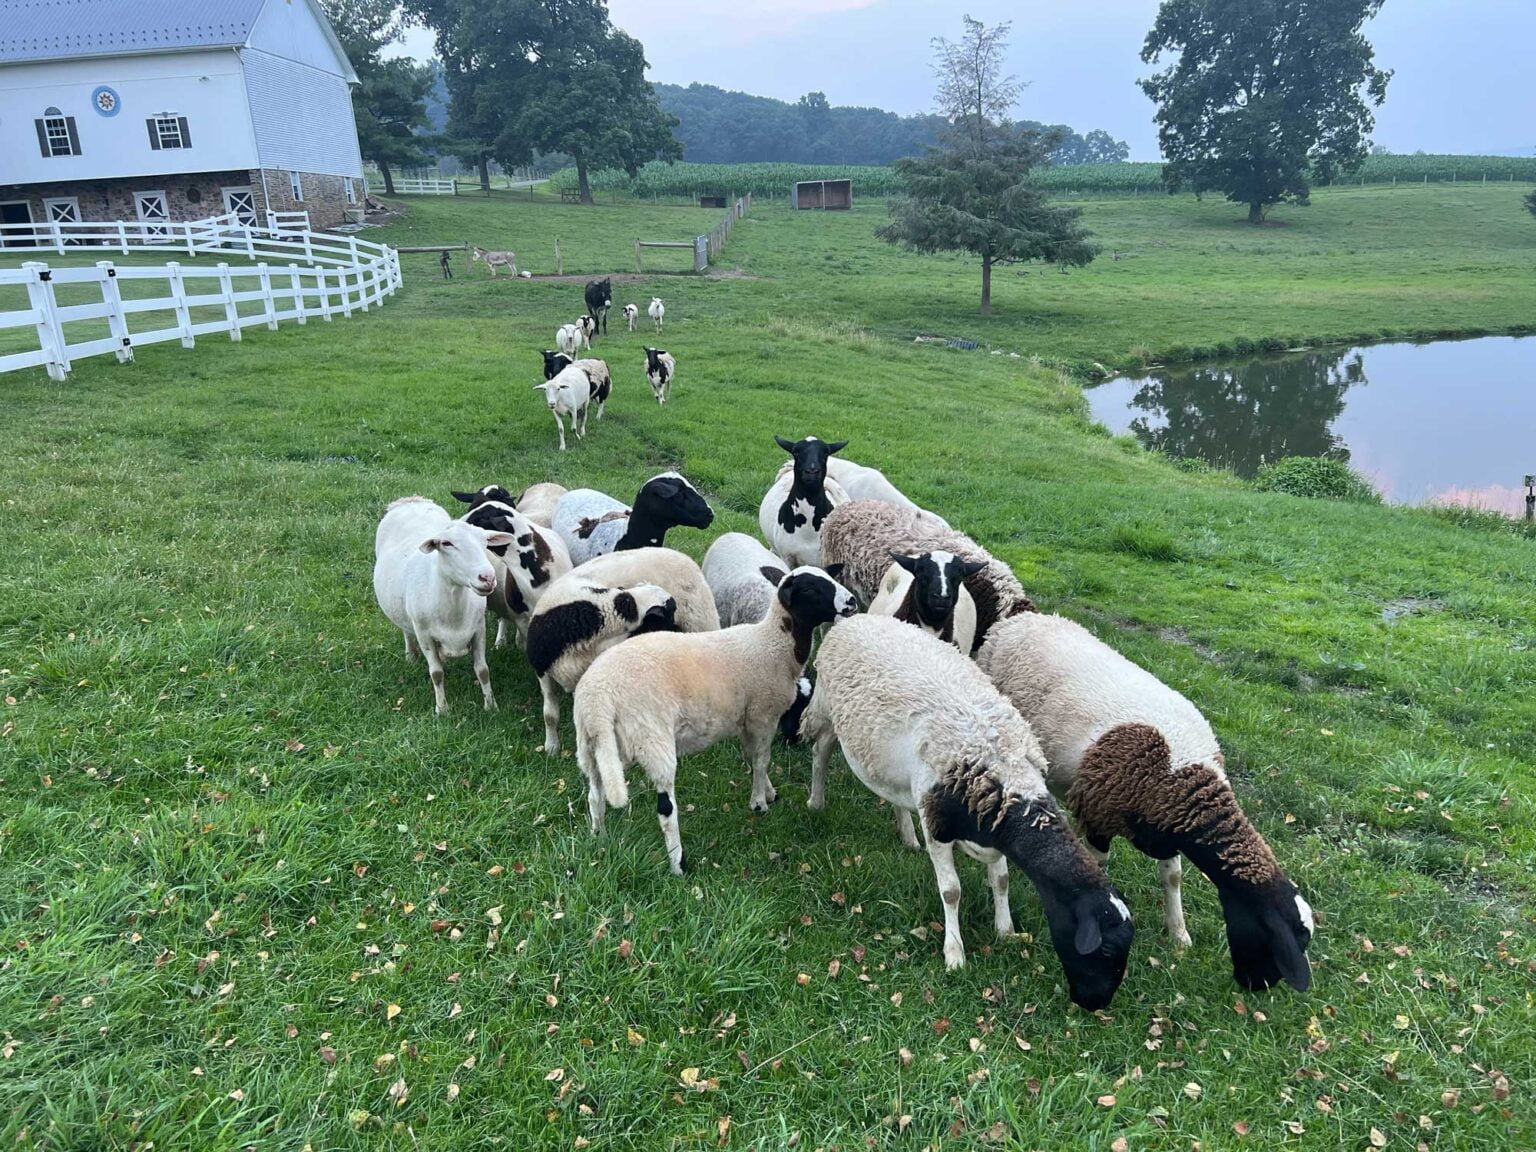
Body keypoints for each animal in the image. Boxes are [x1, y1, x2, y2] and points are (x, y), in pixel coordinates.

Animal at [373, 496, 513, 715]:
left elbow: (482, 670)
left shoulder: (478, 629)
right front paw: (442, 709)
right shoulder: (424, 635)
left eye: (485, 541)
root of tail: (411, 500)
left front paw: (491, 706)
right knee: (406, 631)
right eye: (447, 543)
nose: (488, 577)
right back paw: (410, 656)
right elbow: (436, 673)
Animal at [528, 546, 719, 753]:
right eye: (669, 610)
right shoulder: (542, 669)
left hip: (701, 621)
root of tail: (681, 556)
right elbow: (550, 714)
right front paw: (552, 747)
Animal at [574, 566, 858, 873]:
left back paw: (600, 839)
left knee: (595, 795)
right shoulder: (763, 712)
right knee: (665, 809)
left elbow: (751, 754)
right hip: (652, 738)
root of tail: (597, 698)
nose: (852, 602)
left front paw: (768, 792)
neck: (774, 646)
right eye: (811, 589)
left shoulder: (745, 716)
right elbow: (762, 759)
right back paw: (678, 864)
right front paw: (759, 803)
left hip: (592, 748)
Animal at [801, 614, 1134, 1009]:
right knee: (820, 752)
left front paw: (1005, 931)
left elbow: (1001, 880)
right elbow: (951, 892)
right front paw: (955, 954)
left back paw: (906, 835)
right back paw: (816, 803)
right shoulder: (937, 826)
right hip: (825, 706)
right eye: (1106, 950)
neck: (1000, 765)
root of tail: (856, 618)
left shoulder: (995, 827)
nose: (1095, 1004)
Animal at [975, 612, 1314, 993]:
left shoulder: (1167, 829)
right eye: (1278, 943)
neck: (1184, 773)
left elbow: (1173, 877)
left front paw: (1179, 935)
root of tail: (1021, 618)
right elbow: (1100, 865)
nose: (1258, 987)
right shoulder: (1100, 816)